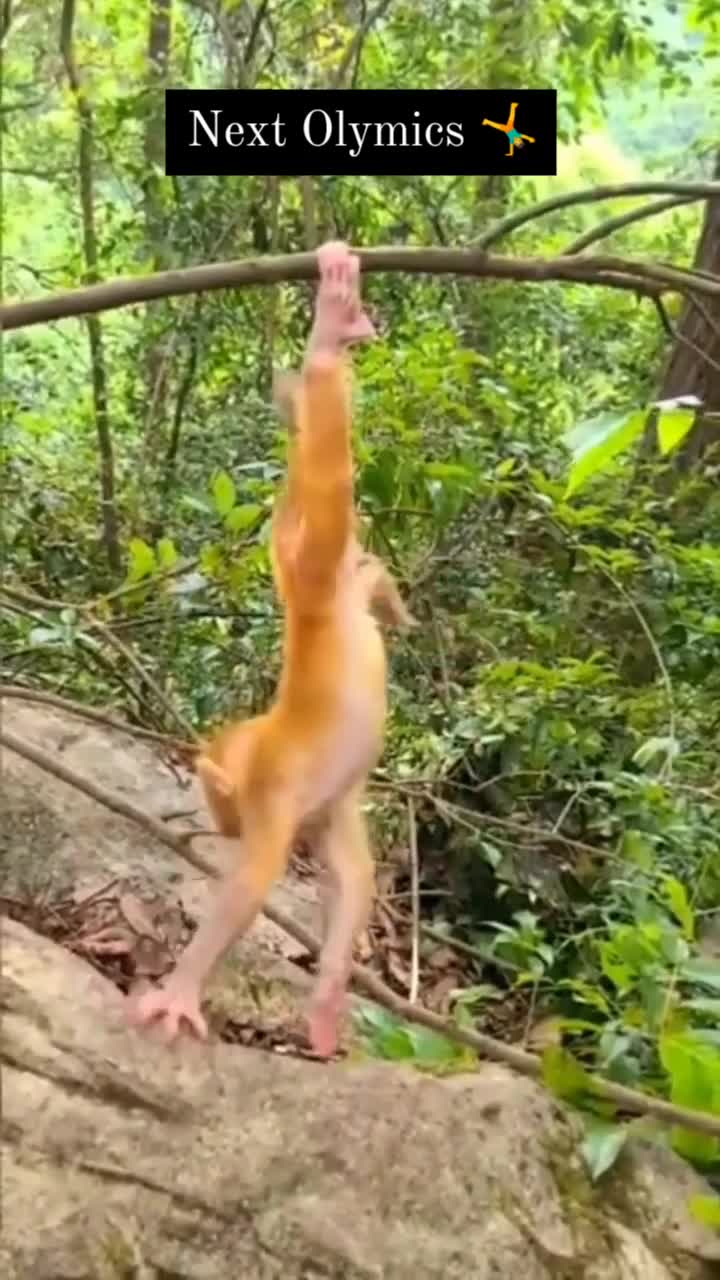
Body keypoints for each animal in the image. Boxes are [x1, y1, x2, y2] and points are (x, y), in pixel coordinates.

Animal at [129, 242, 400, 1058]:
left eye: (225, 801)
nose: (223, 823)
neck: (259, 739)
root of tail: (312, 611)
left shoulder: (275, 790)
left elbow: (250, 887)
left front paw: (181, 988)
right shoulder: (326, 808)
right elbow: (352, 876)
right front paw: (329, 995)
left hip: (312, 567)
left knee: (325, 480)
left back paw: (327, 342)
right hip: (325, 581)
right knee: (332, 541)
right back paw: (383, 590)